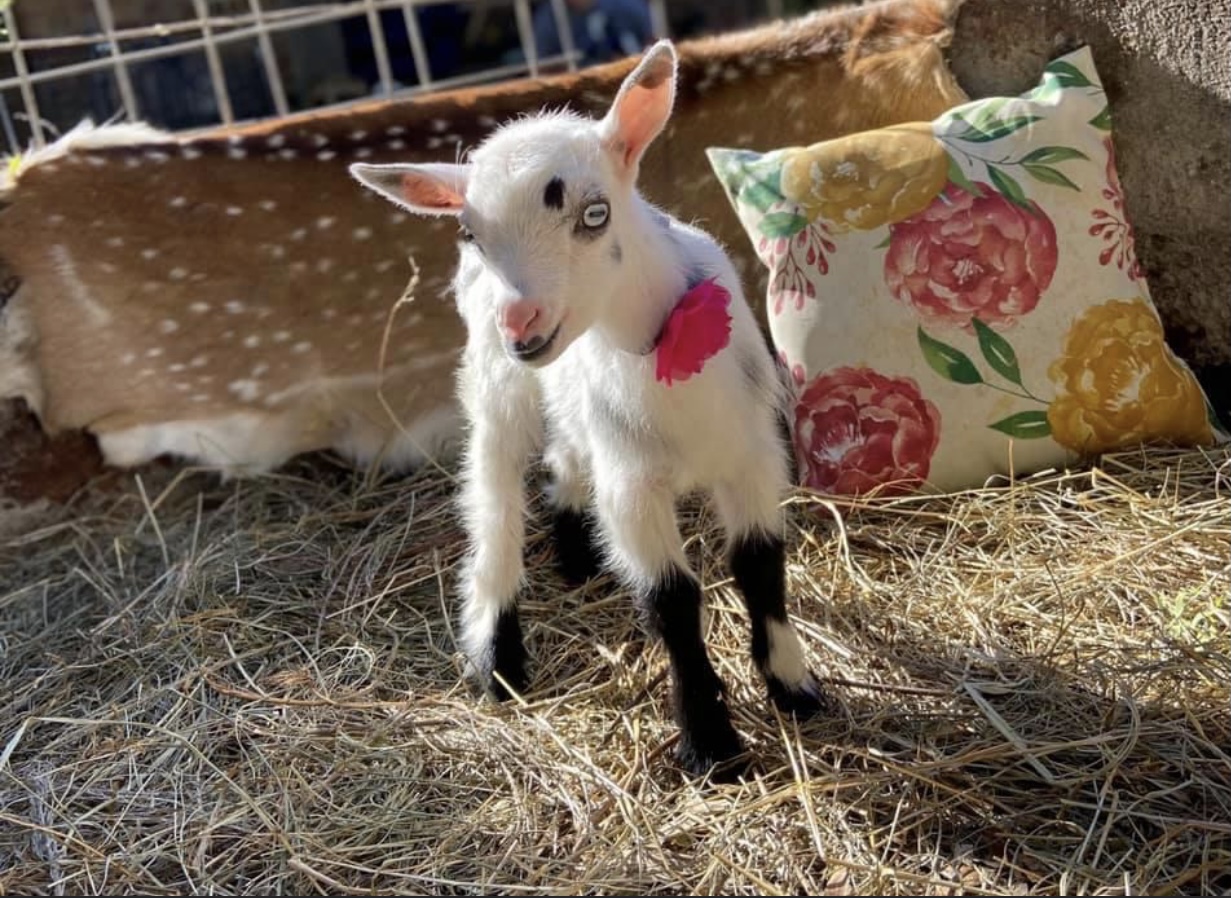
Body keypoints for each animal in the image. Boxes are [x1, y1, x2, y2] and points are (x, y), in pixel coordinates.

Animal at [351, 40, 827, 777]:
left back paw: (575, 548)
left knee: (566, 451)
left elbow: (760, 565)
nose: (520, 320)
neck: (667, 356)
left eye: (593, 213)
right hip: (496, 386)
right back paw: (496, 650)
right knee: (493, 498)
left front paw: (792, 685)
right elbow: (672, 602)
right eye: (471, 231)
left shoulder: (752, 457)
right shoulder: (633, 488)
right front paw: (711, 743)